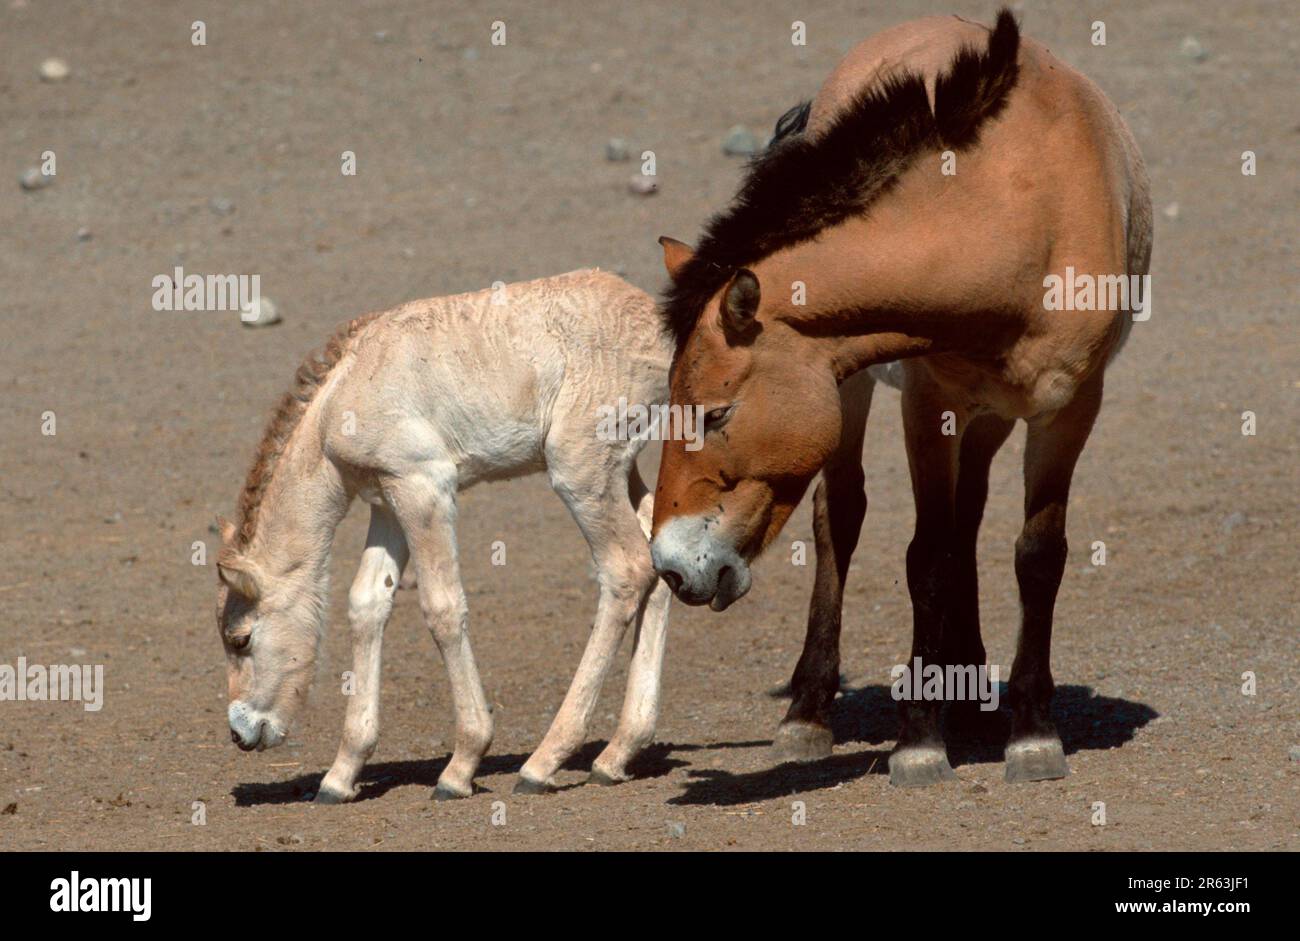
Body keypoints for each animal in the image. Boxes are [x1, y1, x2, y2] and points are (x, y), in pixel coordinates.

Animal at [648, 9, 1153, 787]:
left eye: (715, 411)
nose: (671, 567)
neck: (1019, 217)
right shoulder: (928, 402)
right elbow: (928, 558)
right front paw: (920, 740)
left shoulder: (1070, 408)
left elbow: (1036, 554)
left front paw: (1033, 733)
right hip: (857, 384)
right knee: (842, 515)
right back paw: (810, 712)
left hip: (993, 413)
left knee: (968, 517)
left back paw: (969, 686)